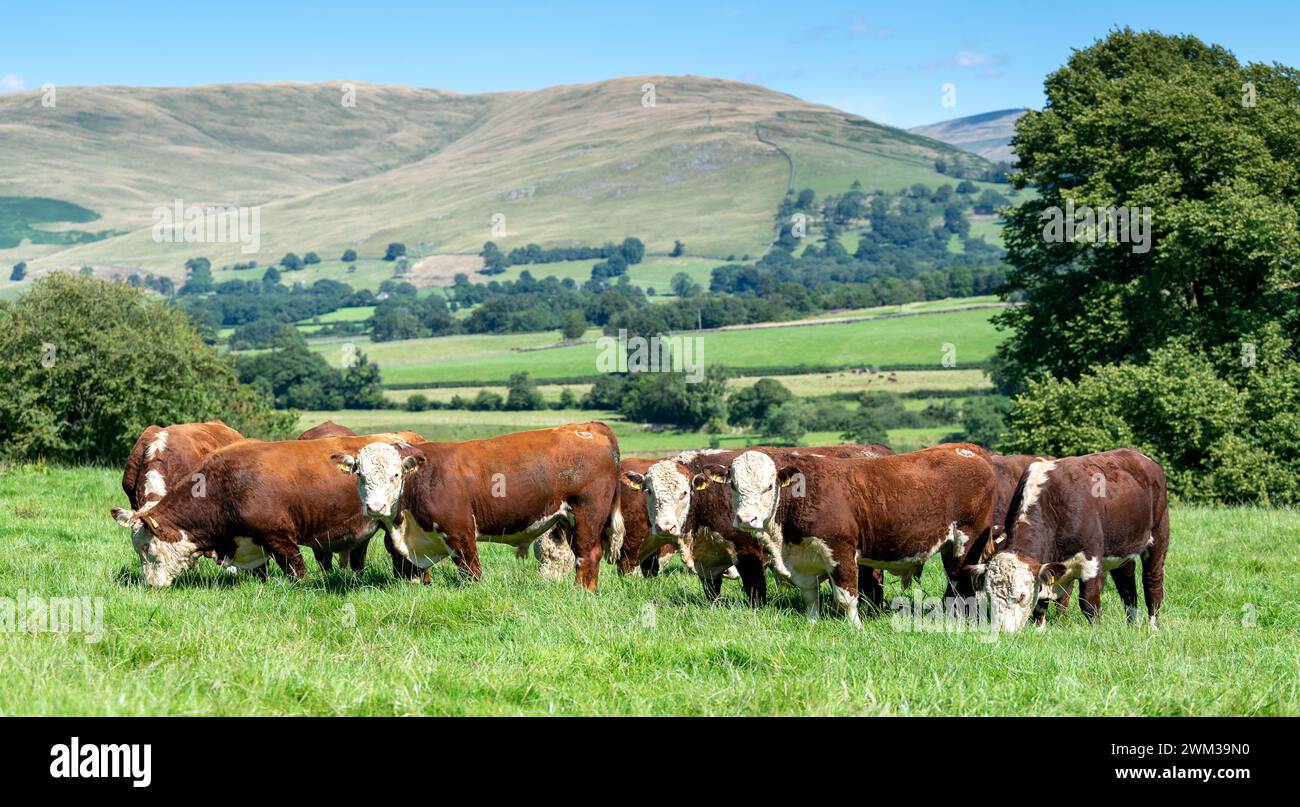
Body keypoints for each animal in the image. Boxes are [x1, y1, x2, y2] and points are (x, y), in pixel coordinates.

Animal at [111, 433, 422, 587]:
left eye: (149, 551)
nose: (151, 585)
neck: (224, 486)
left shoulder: (279, 536)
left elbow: (296, 570)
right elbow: (260, 570)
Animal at [333, 423, 624, 591]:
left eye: (395, 475)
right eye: (360, 475)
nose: (375, 506)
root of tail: (588, 426)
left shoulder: (459, 530)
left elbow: (470, 570)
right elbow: (411, 570)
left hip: (588, 514)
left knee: (587, 553)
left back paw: (582, 591)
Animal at [625, 444, 893, 606]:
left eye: (683, 492)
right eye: (649, 490)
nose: (664, 527)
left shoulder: (749, 552)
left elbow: (755, 589)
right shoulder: (709, 556)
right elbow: (711, 589)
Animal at [712, 444, 995, 625]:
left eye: (769, 486)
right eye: (733, 485)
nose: (746, 519)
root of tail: (968, 451)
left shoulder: (840, 551)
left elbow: (847, 597)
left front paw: (855, 628)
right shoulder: (803, 560)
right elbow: (810, 597)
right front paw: (812, 624)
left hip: (965, 543)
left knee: (962, 584)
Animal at [968, 449, 1170, 632]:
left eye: (1022, 596)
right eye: (990, 596)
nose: (1003, 631)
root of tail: (1143, 458)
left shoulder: (1091, 559)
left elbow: (1088, 602)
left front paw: (1096, 631)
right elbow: (1041, 603)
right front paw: (1039, 630)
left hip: (1158, 538)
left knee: (1152, 584)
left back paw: (1153, 627)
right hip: (1123, 552)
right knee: (1127, 587)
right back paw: (1132, 624)